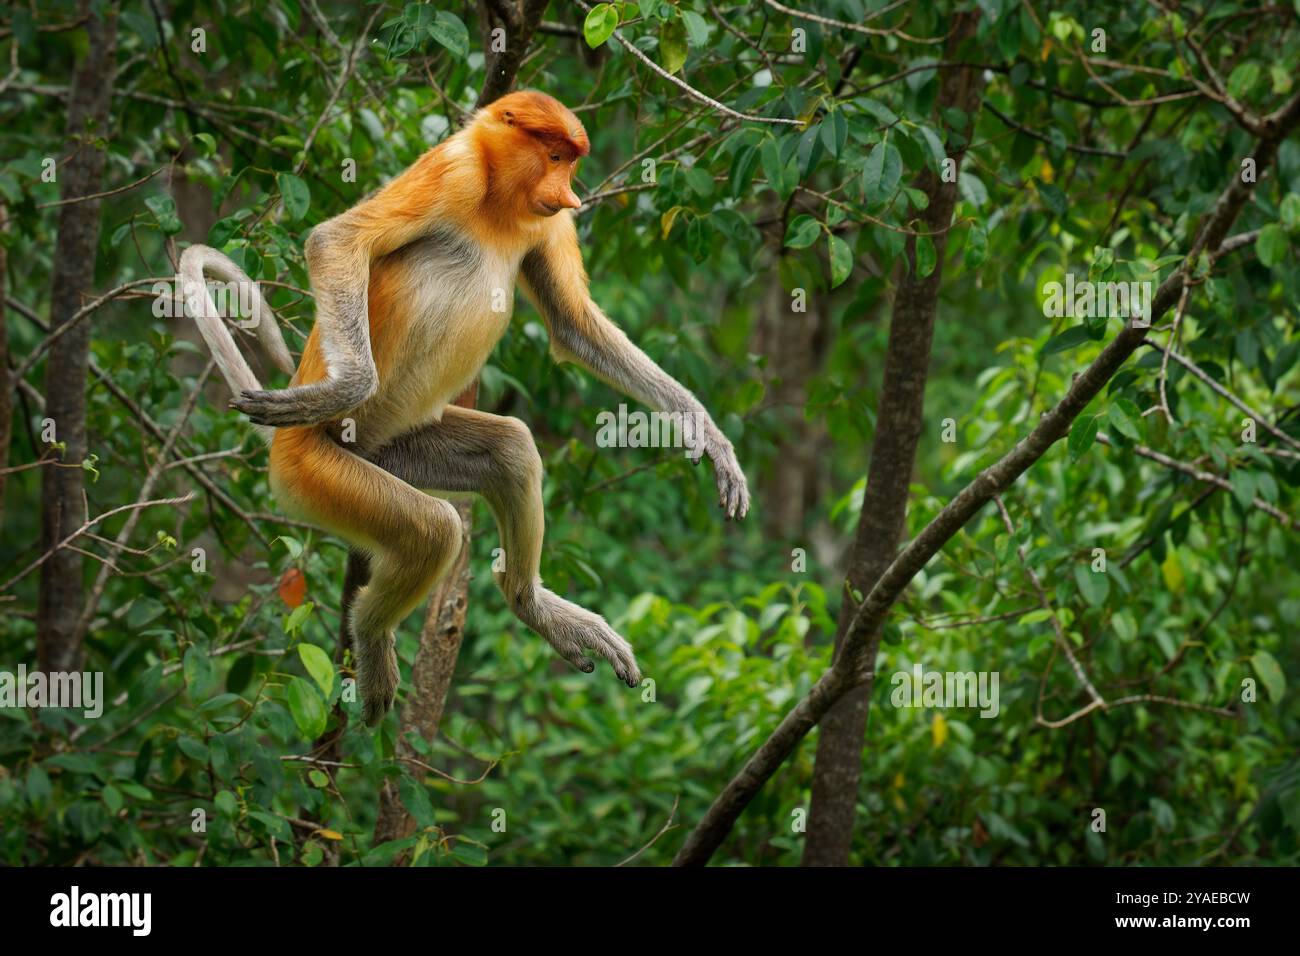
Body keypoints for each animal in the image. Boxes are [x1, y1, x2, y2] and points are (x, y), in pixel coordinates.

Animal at [178, 91, 749, 726]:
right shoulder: (454, 171)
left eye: (571, 162)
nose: (572, 196)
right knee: (432, 529)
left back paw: (529, 604)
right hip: (311, 471)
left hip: (398, 447)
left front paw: (707, 433)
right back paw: (372, 636)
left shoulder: (547, 221)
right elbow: (335, 240)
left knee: (511, 449)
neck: (499, 196)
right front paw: (343, 387)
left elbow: (573, 326)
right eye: (556, 156)